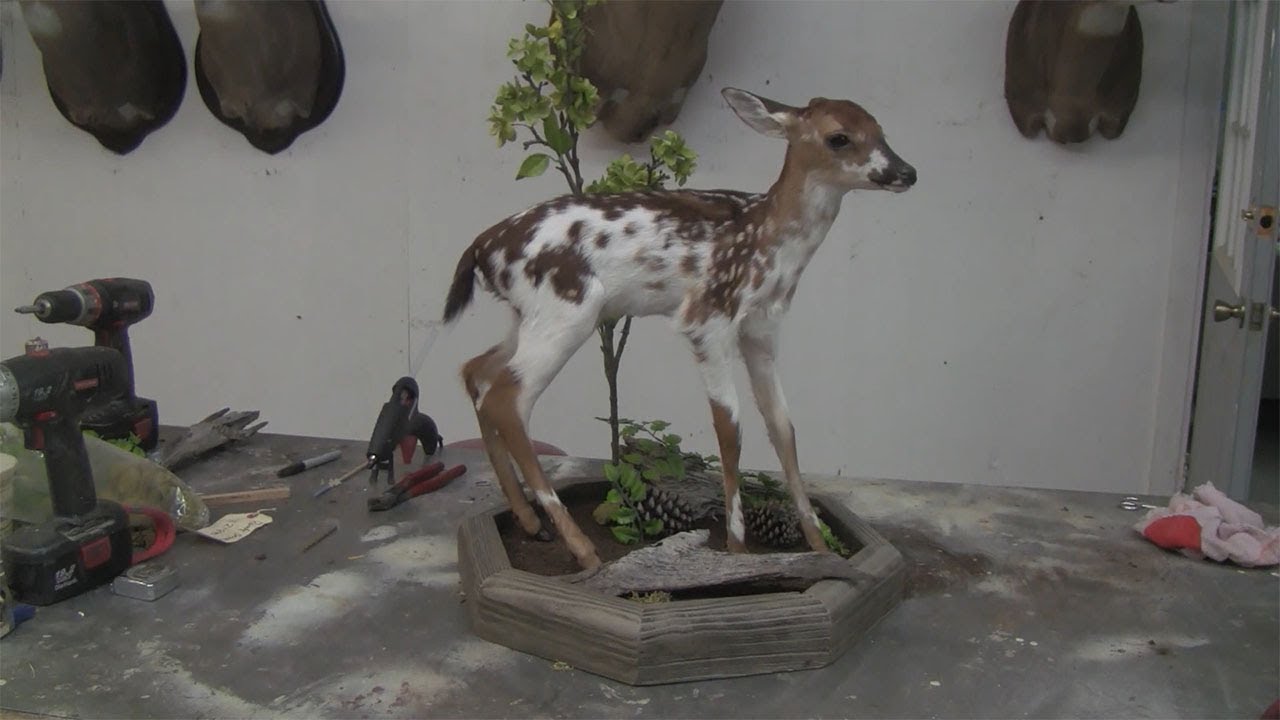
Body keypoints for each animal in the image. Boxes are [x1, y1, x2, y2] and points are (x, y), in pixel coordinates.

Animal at [442, 87, 916, 570]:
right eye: (839, 137)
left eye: (880, 129)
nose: (907, 172)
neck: (768, 244)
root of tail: (480, 249)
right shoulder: (709, 318)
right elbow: (730, 429)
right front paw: (738, 547)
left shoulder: (762, 329)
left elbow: (783, 427)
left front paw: (819, 546)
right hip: (568, 310)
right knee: (507, 398)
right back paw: (584, 550)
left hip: (528, 315)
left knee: (475, 372)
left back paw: (529, 521)